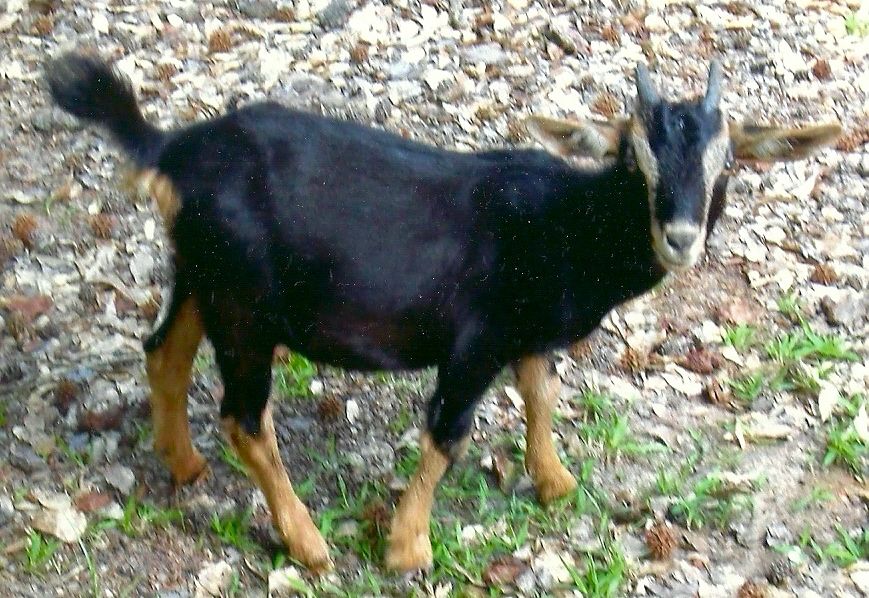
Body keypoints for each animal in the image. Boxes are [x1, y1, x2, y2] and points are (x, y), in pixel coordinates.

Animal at [46, 53, 841, 573]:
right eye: (630, 159)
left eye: (726, 164)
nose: (679, 237)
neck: (564, 225)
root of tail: (173, 150)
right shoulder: (475, 340)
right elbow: (447, 433)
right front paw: (407, 548)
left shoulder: (525, 333)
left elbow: (540, 393)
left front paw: (555, 483)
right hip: (244, 306)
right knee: (244, 417)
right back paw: (307, 542)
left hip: (200, 276)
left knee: (163, 350)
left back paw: (183, 466)